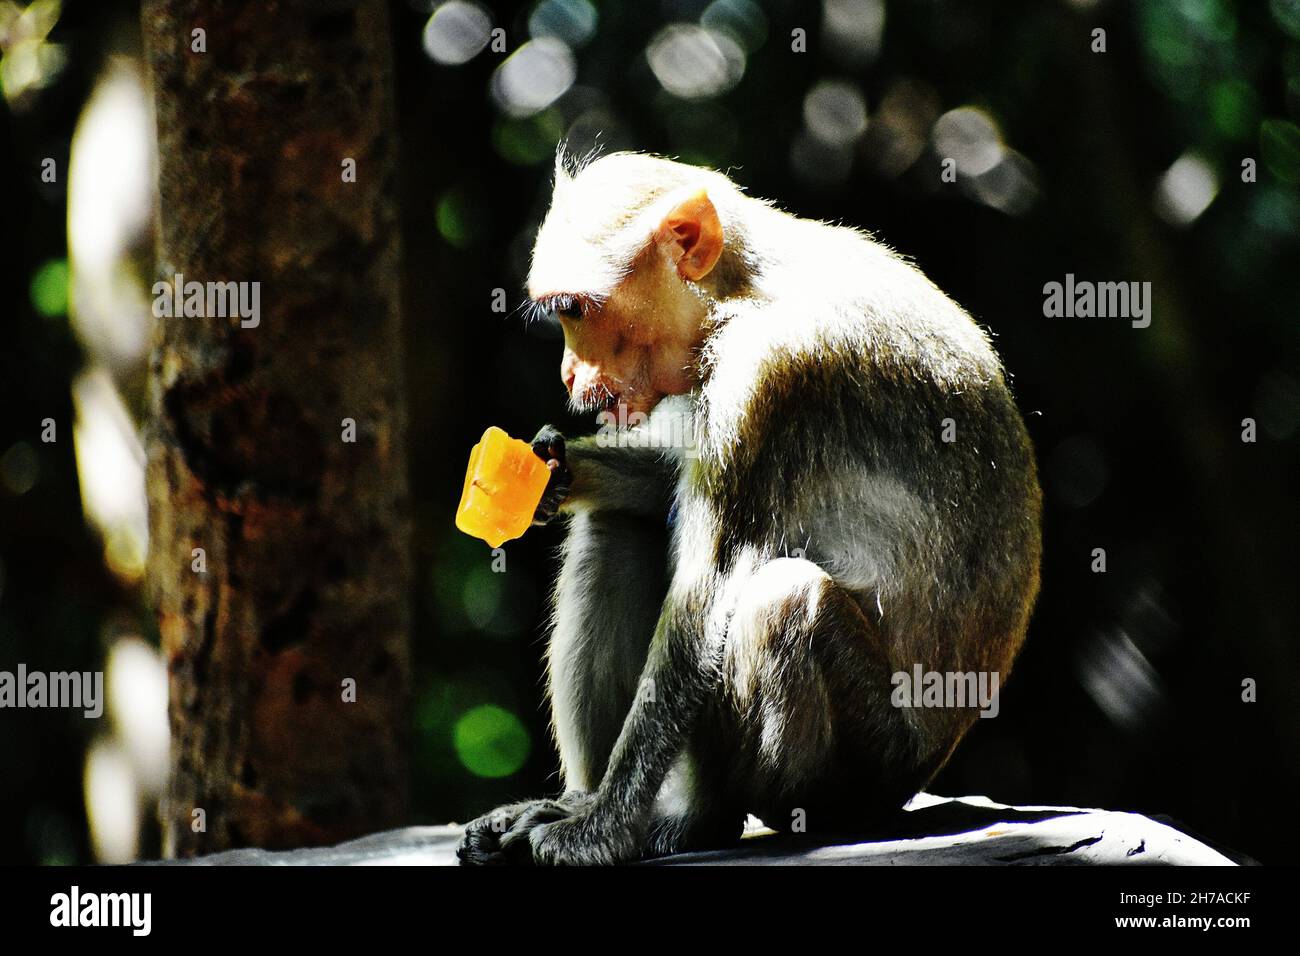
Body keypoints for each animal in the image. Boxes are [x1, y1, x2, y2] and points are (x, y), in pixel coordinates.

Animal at [457, 151, 1042, 865]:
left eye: (574, 311)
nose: (569, 373)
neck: (741, 291)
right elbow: (663, 493)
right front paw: (549, 472)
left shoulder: (766, 374)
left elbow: (703, 594)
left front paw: (601, 828)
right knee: (616, 527)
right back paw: (581, 798)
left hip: (869, 765)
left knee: (783, 599)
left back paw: (695, 821)